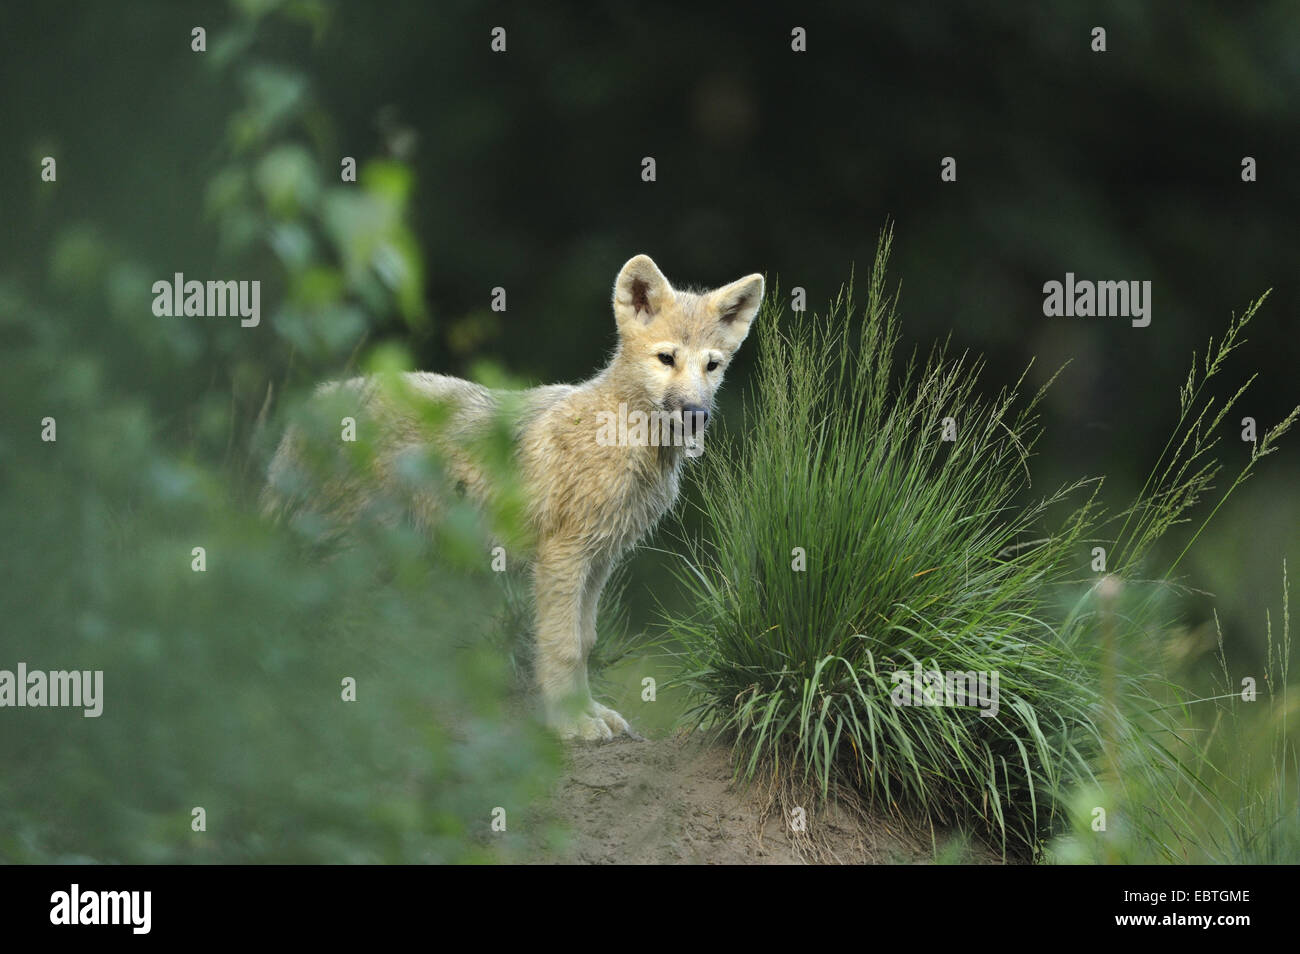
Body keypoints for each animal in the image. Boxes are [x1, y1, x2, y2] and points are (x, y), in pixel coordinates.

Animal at [261, 255, 764, 740]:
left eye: (712, 366)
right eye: (666, 358)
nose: (696, 414)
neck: (623, 437)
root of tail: (311, 406)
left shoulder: (600, 561)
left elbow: (585, 643)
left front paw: (592, 714)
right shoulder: (563, 557)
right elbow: (562, 648)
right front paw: (571, 725)